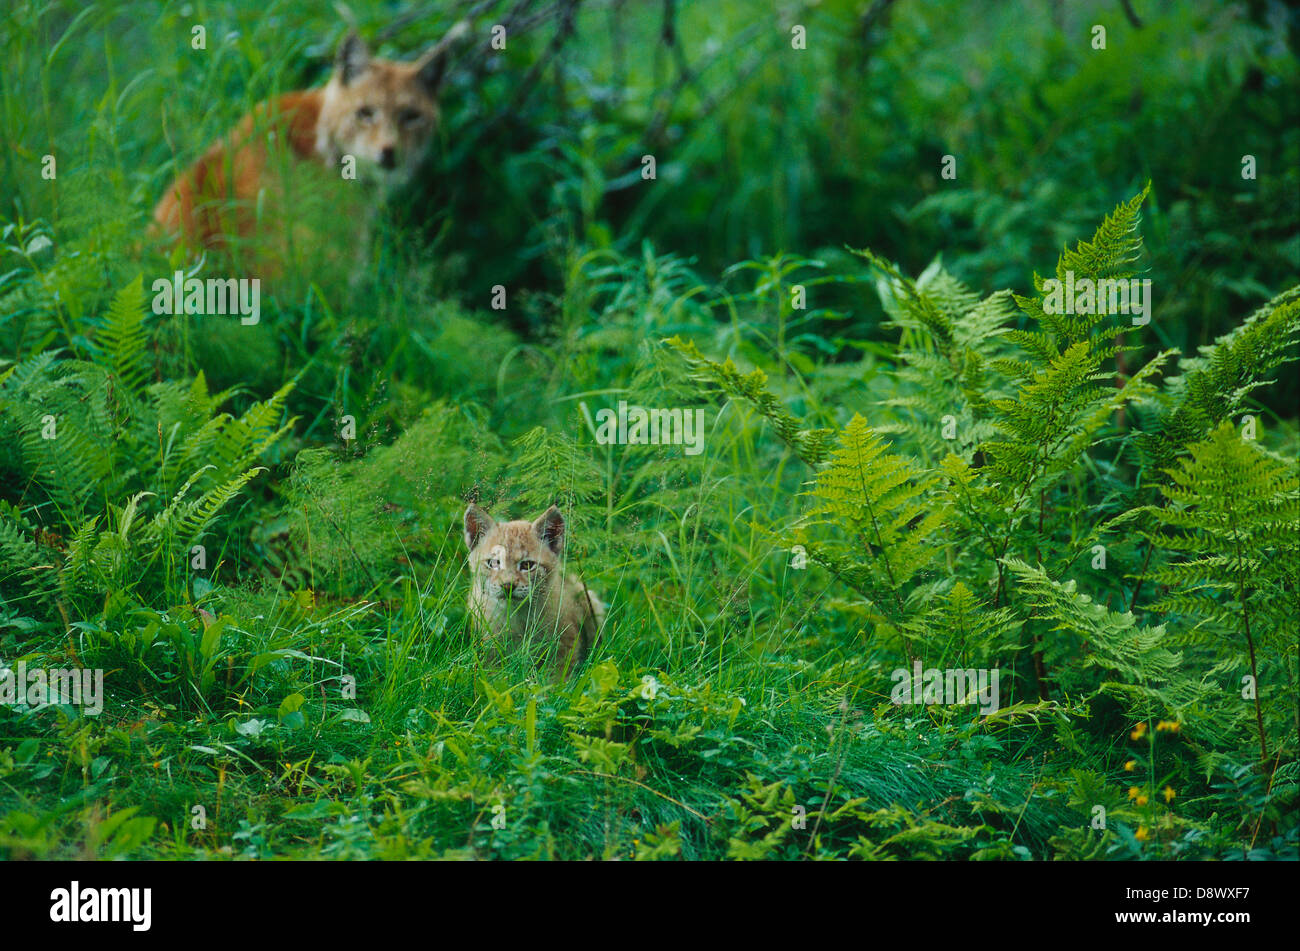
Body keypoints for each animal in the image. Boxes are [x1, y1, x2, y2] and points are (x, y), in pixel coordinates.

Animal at [463, 504, 607, 680]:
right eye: (494, 563)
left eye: (527, 565)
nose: (508, 585)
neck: (515, 613)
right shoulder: (489, 646)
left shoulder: (564, 644)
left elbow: (558, 678)